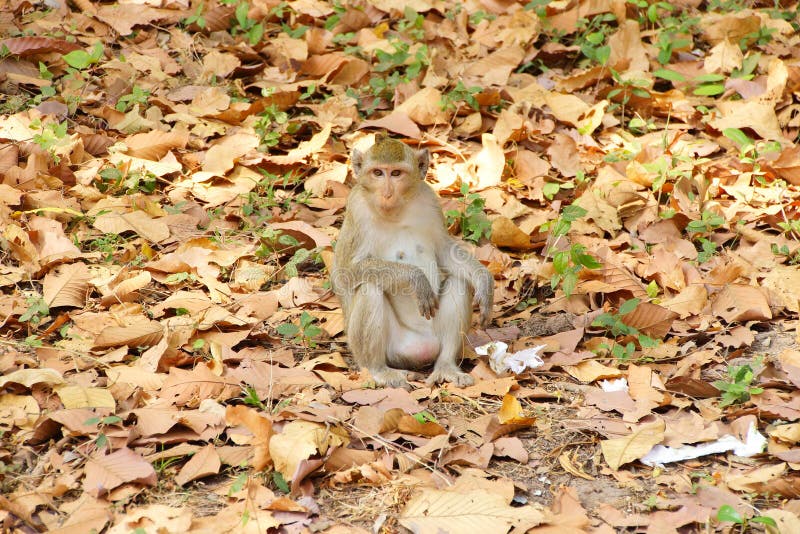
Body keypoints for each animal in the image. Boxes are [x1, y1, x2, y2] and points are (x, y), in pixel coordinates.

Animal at [331, 135, 494, 388]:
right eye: (377, 173)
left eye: (396, 173)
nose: (387, 193)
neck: (395, 212)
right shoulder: (356, 209)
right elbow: (346, 273)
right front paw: (415, 277)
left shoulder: (430, 199)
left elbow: (444, 251)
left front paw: (484, 280)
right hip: (396, 349)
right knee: (369, 288)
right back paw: (379, 370)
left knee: (458, 282)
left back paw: (446, 366)